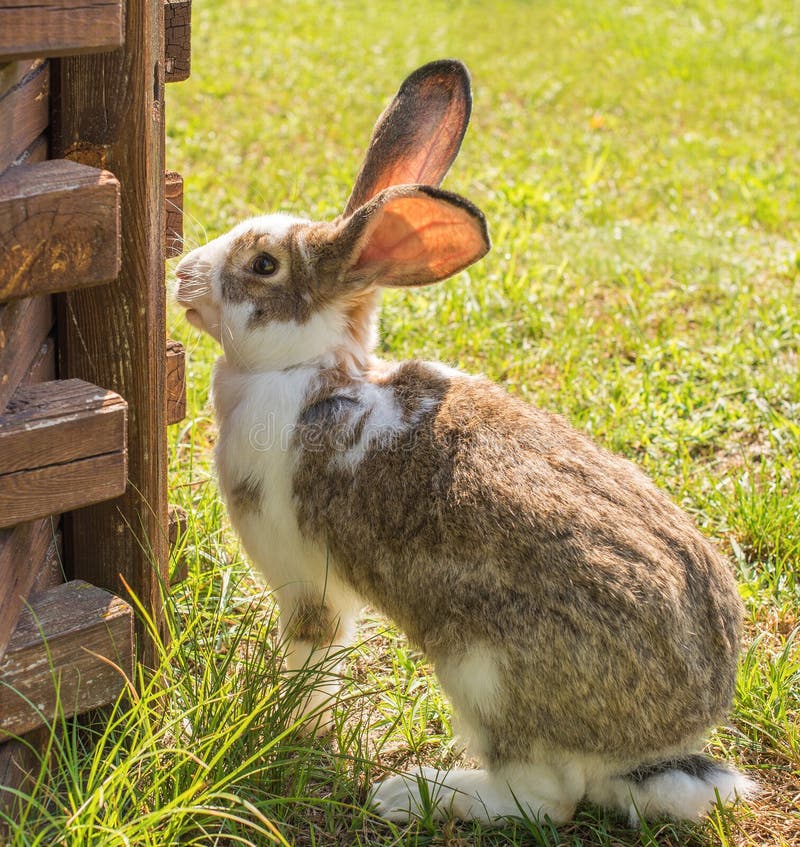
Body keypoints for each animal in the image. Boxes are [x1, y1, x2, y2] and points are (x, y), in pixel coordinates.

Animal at [174, 59, 755, 826]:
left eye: (264, 264)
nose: (180, 272)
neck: (306, 374)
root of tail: (656, 747)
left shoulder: (303, 577)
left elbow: (312, 649)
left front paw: (284, 718)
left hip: (484, 670)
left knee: (548, 797)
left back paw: (410, 791)